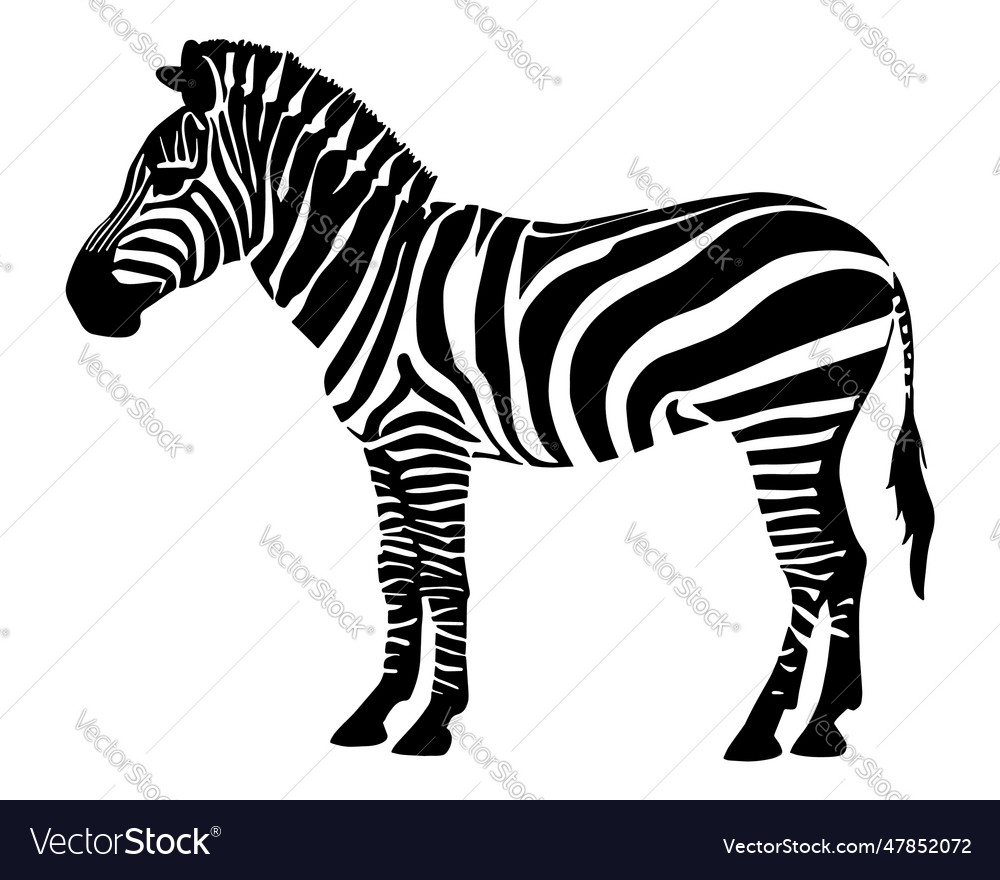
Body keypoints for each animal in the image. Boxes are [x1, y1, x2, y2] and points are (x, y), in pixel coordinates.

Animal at [66, 39, 934, 761]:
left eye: (169, 180)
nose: (80, 300)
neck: (375, 274)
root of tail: (872, 249)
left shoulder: (430, 443)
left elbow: (446, 576)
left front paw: (431, 722)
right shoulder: (383, 447)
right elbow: (396, 572)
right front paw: (375, 711)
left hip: (781, 424)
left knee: (812, 564)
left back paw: (765, 730)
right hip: (815, 430)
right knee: (848, 556)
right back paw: (829, 721)